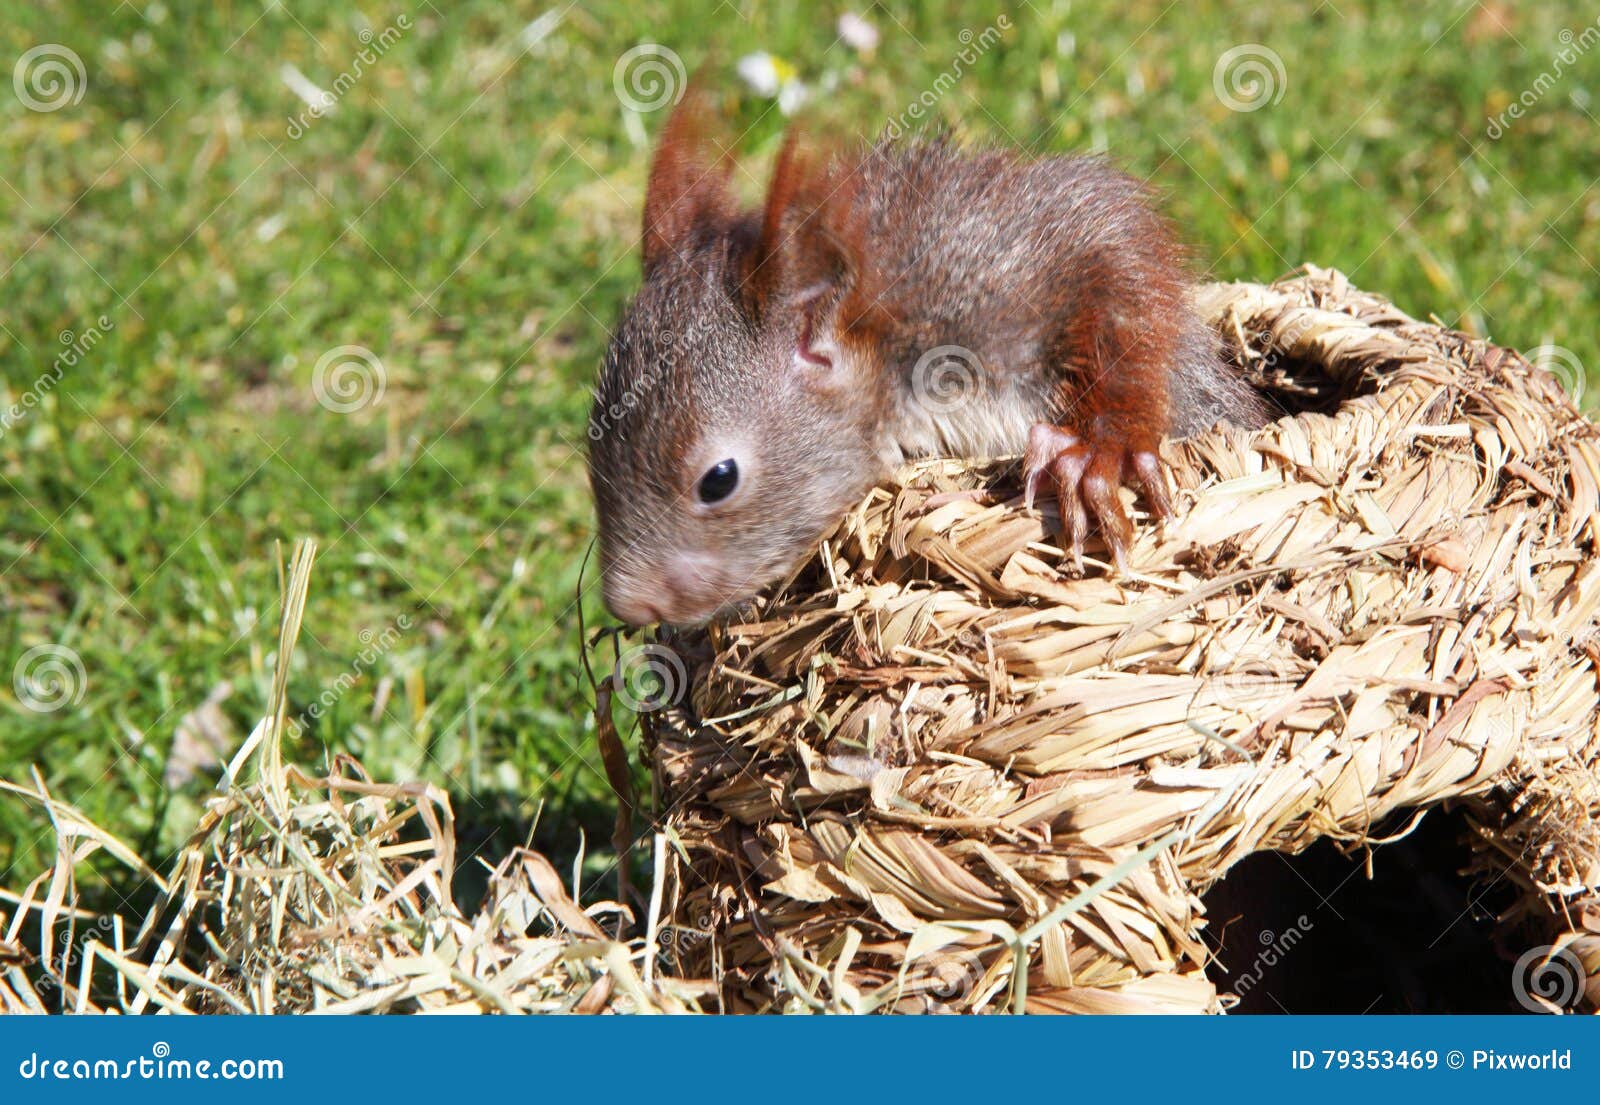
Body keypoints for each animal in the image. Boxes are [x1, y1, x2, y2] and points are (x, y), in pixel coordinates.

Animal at [589, 93, 1274, 627]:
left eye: (719, 479)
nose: (630, 607)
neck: (886, 353)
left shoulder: (1000, 259)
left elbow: (1120, 256)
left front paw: (1104, 448)